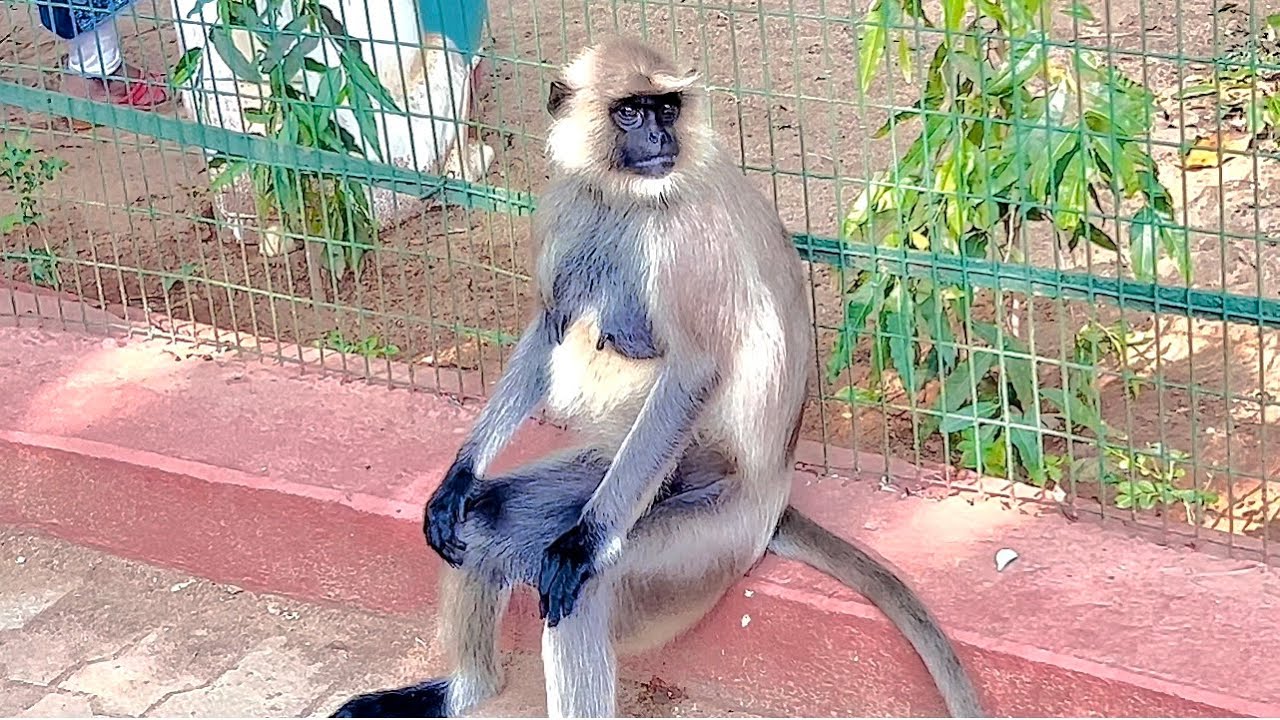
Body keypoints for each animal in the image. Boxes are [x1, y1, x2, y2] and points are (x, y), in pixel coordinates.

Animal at [331, 36, 984, 719]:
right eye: (629, 112)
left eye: (665, 108)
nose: (658, 137)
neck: (628, 197)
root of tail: (775, 491)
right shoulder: (569, 201)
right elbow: (551, 325)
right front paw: (459, 474)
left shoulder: (682, 237)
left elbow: (692, 369)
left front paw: (581, 545)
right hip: (617, 470)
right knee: (488, 519)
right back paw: (466, 689)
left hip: (713, 529)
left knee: (585, 596)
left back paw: (577, 559)